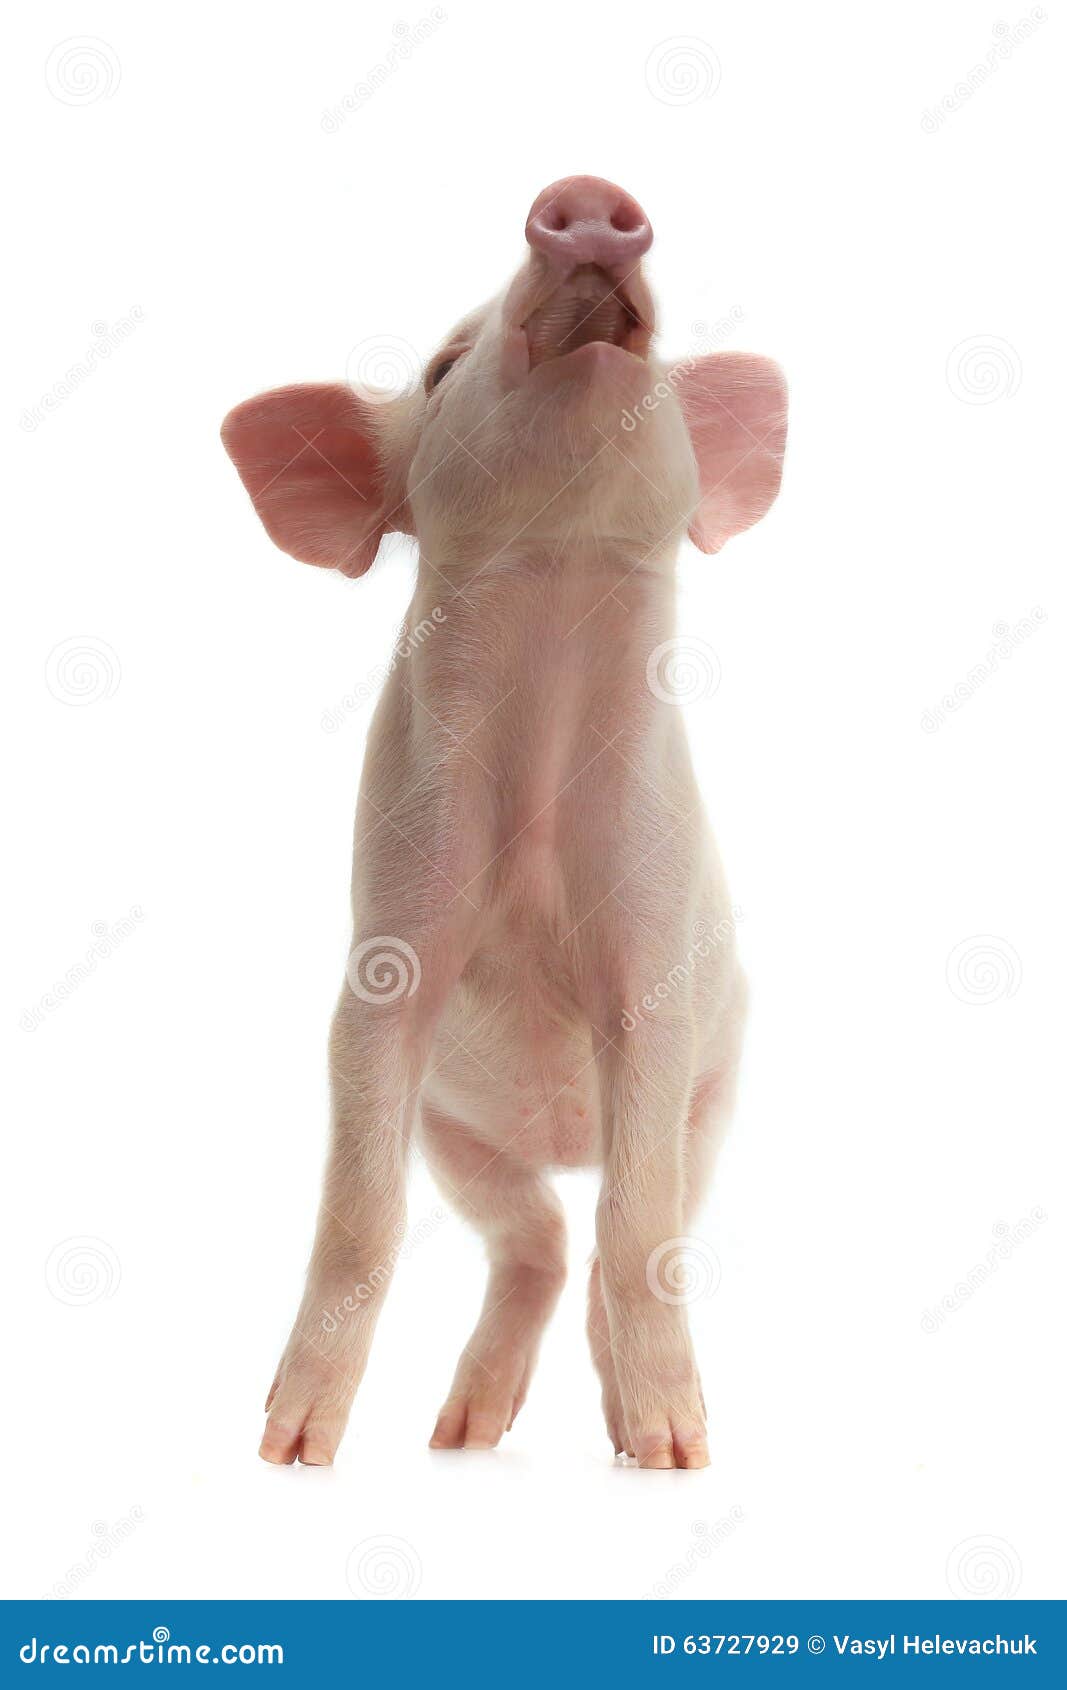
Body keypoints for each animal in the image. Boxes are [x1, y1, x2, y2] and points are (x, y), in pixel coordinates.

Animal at [222, 176, 787, 1469]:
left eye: (665, 355)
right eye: (438, 368)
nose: (581, 197)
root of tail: (557, 1141)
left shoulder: (657, 953)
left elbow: (638, 1225)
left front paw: (674, 1454)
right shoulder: (387, 952)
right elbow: (357, 1213)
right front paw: (288, 1449)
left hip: (717, 1104)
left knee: (613, 1228)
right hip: (459, 1137)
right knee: (532, 1238)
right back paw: (458, 1437)